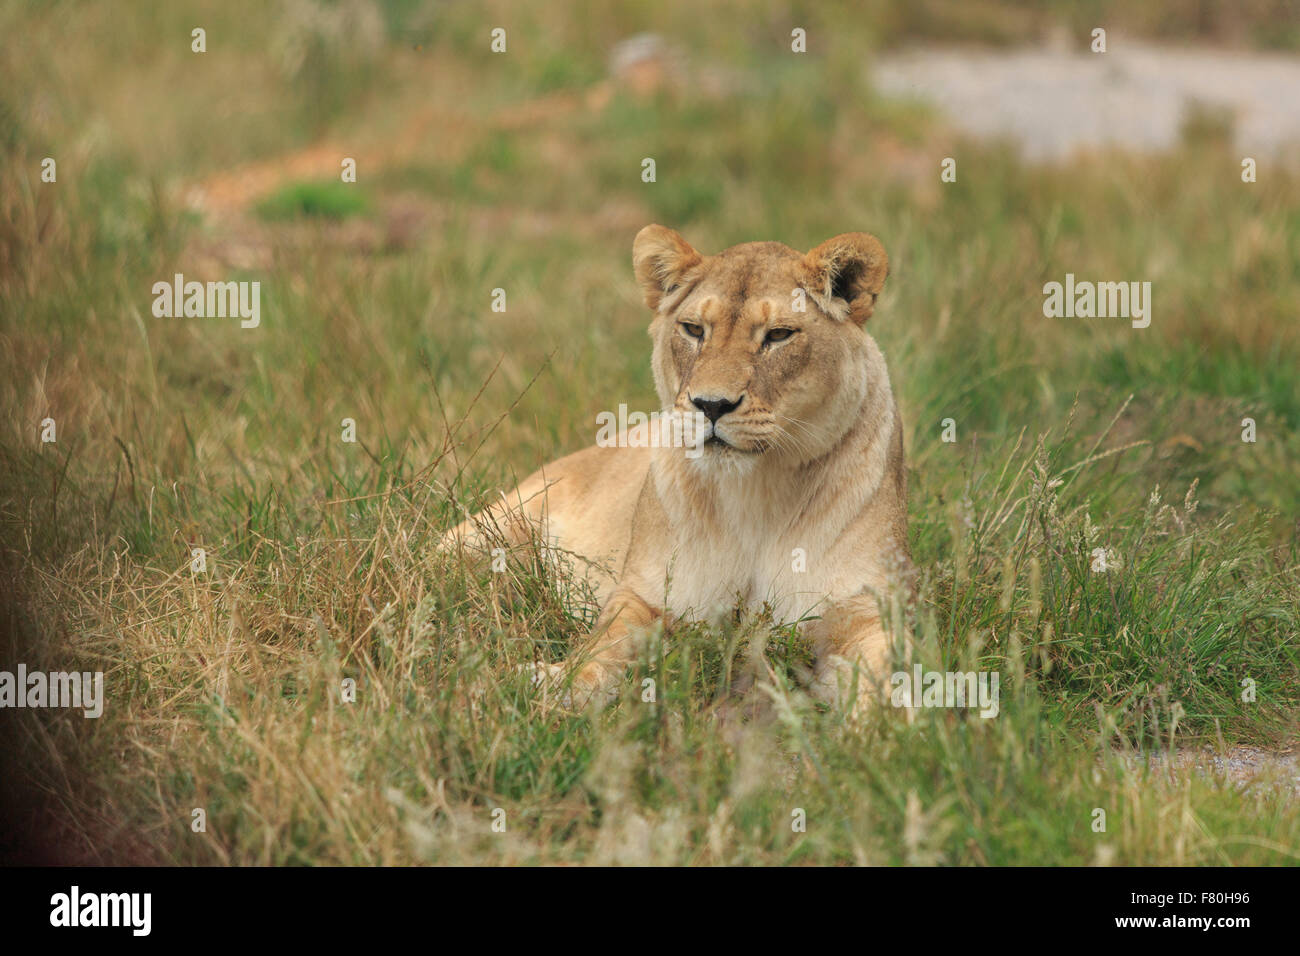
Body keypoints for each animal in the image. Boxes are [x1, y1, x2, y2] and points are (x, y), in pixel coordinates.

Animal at [443, 225, 913, 716]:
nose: (712, 405)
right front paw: (551, 685)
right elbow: (602, 649)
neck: (757, 492)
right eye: (693, 330)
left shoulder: (863, 611)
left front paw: (883, 727)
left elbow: (885, 680)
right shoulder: (645, 596)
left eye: (780, 335)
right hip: (490, 533)